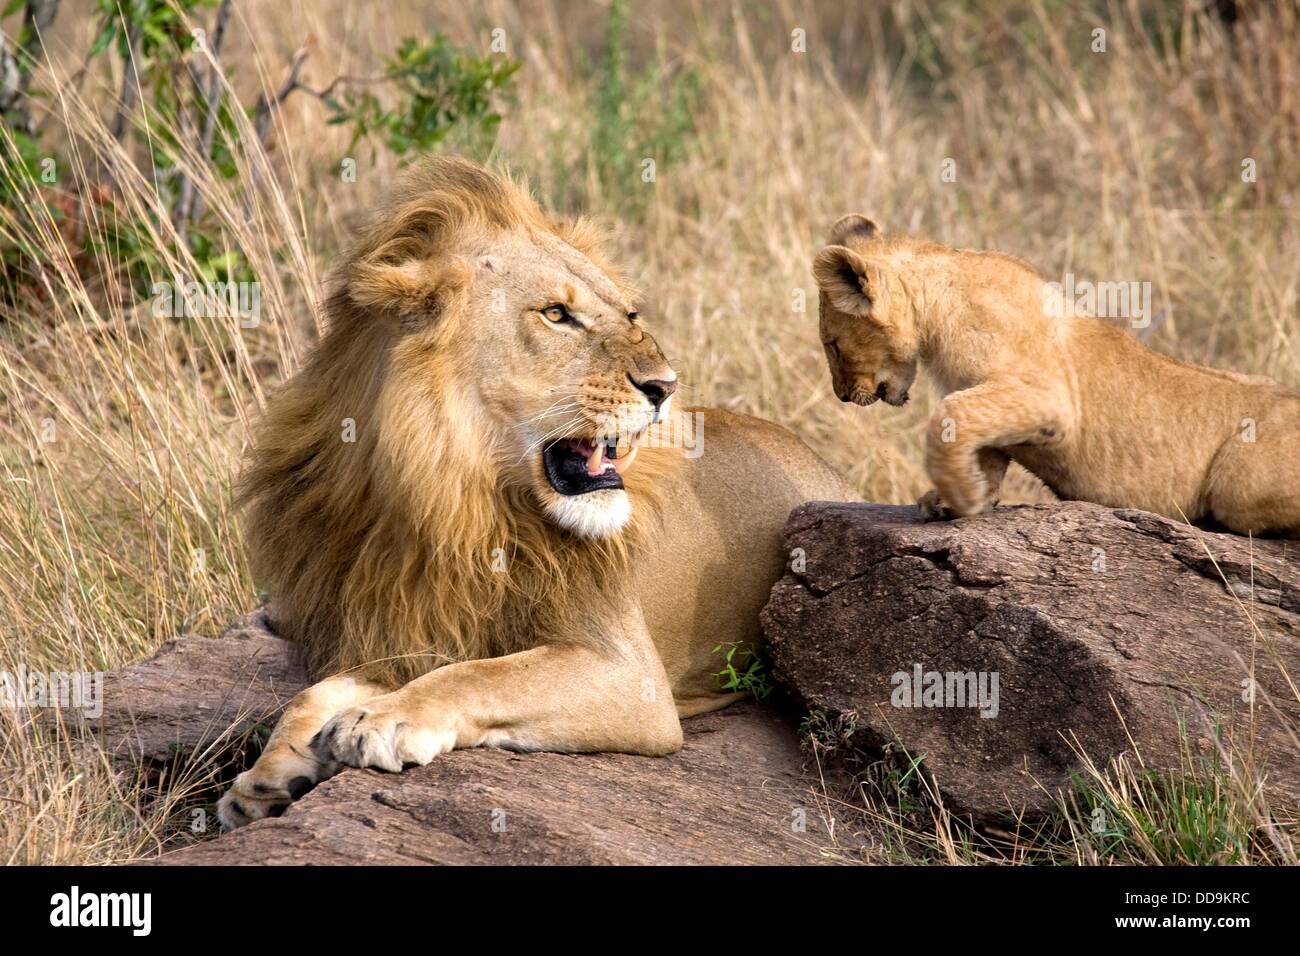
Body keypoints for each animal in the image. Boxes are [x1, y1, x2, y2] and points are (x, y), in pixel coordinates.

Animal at [216, 158, 857, 829]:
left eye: (630, 316)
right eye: (555, 314)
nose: (667, 387)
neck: (453, 498)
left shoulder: (630, 675)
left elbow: (483, 675)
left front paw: (384, 719)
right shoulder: (408, 625)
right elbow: (318, 690)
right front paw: (266, 777)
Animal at [812, 213, 1300, 538]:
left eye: (832, 344)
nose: (843, 395)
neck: (934, 306)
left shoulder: (1049, 399)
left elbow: (949, 416)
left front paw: (962, 497)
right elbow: (979, 444)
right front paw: (959, 499)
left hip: (1238, 487)